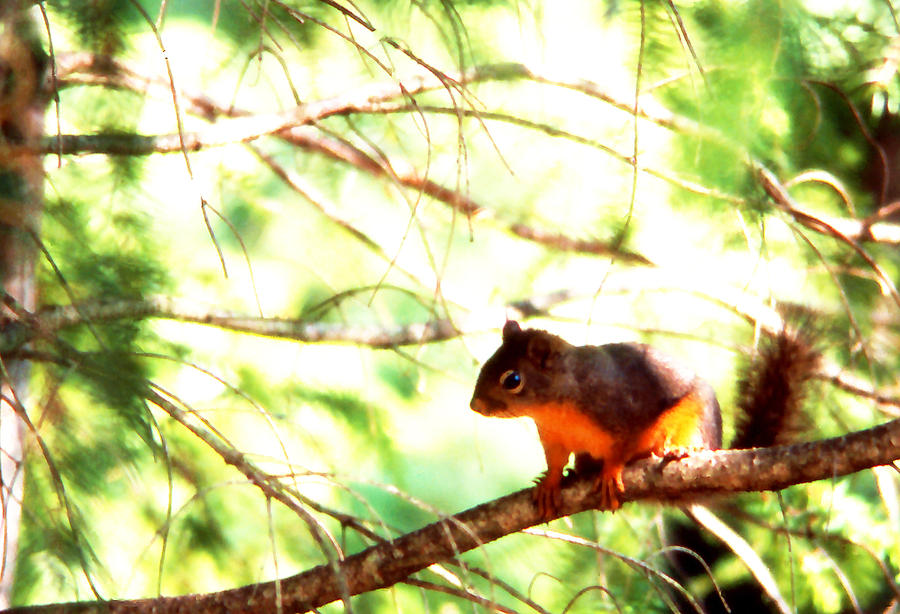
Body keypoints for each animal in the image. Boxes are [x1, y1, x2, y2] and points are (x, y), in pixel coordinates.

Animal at [470, 320, 818, 519]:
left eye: (513, 379)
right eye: (487, 363)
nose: (474, 406)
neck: (555, 407)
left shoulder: (625, 412)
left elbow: (621, 450)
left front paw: (611, 472)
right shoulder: (553, 437)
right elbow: (555, 461)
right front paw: (551, 482)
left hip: (695, 420)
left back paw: (681, 451)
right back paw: (580, 472)